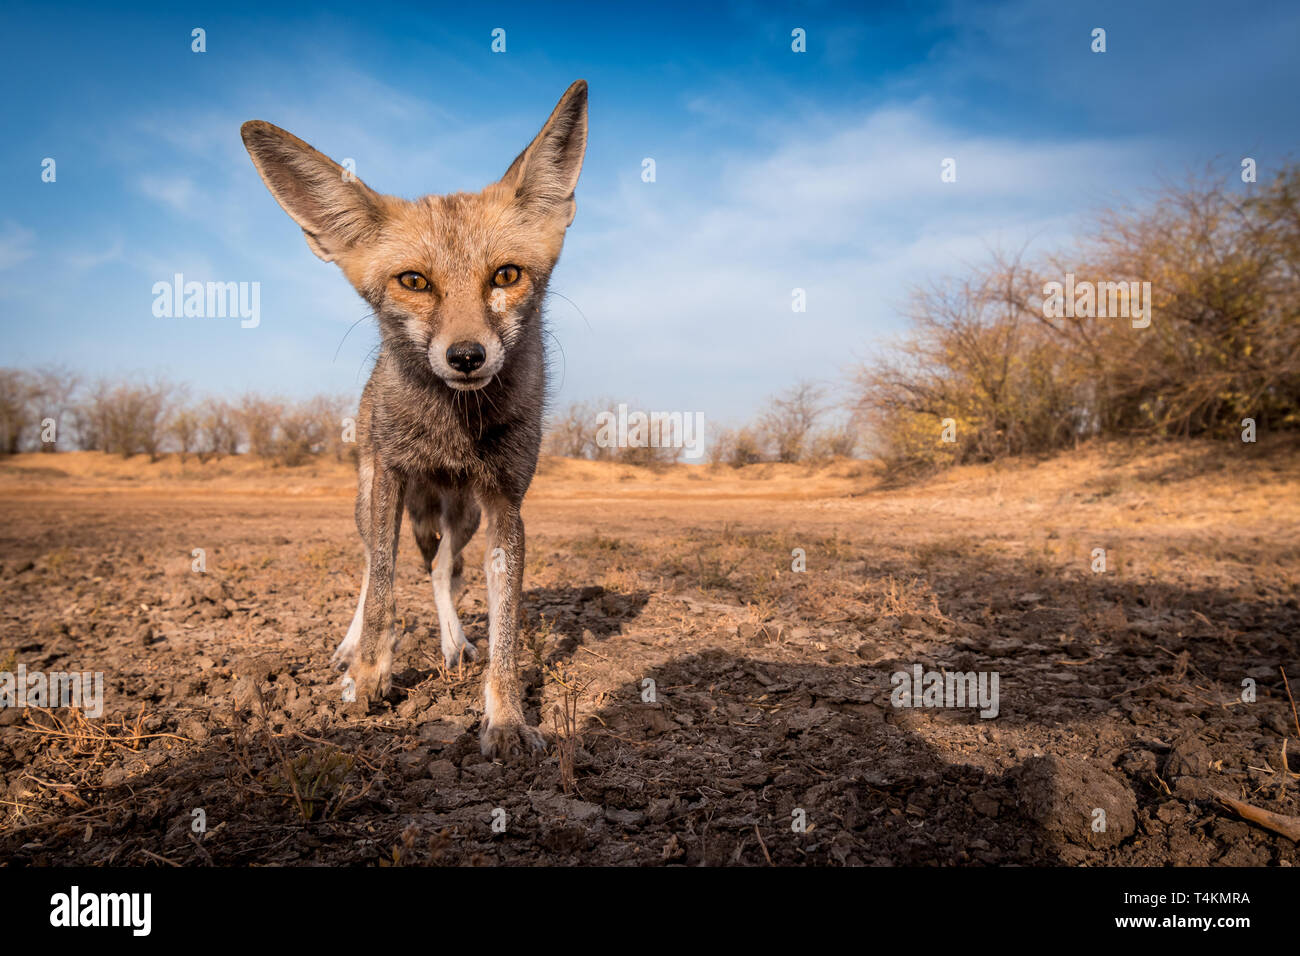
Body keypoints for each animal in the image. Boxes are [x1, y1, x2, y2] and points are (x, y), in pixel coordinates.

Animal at [239, 81, 588, 758]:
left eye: (506, 276)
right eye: (415, 282)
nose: (467, 356)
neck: (451, 430)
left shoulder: (505, 503)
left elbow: (502, 630)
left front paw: (506, 717)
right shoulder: (391, 476)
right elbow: (380, 586)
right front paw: (368, 676)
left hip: (463, 515)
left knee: (441, 571)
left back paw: (453, 643)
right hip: (369, 496)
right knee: (375, 569)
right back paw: (351, 649)